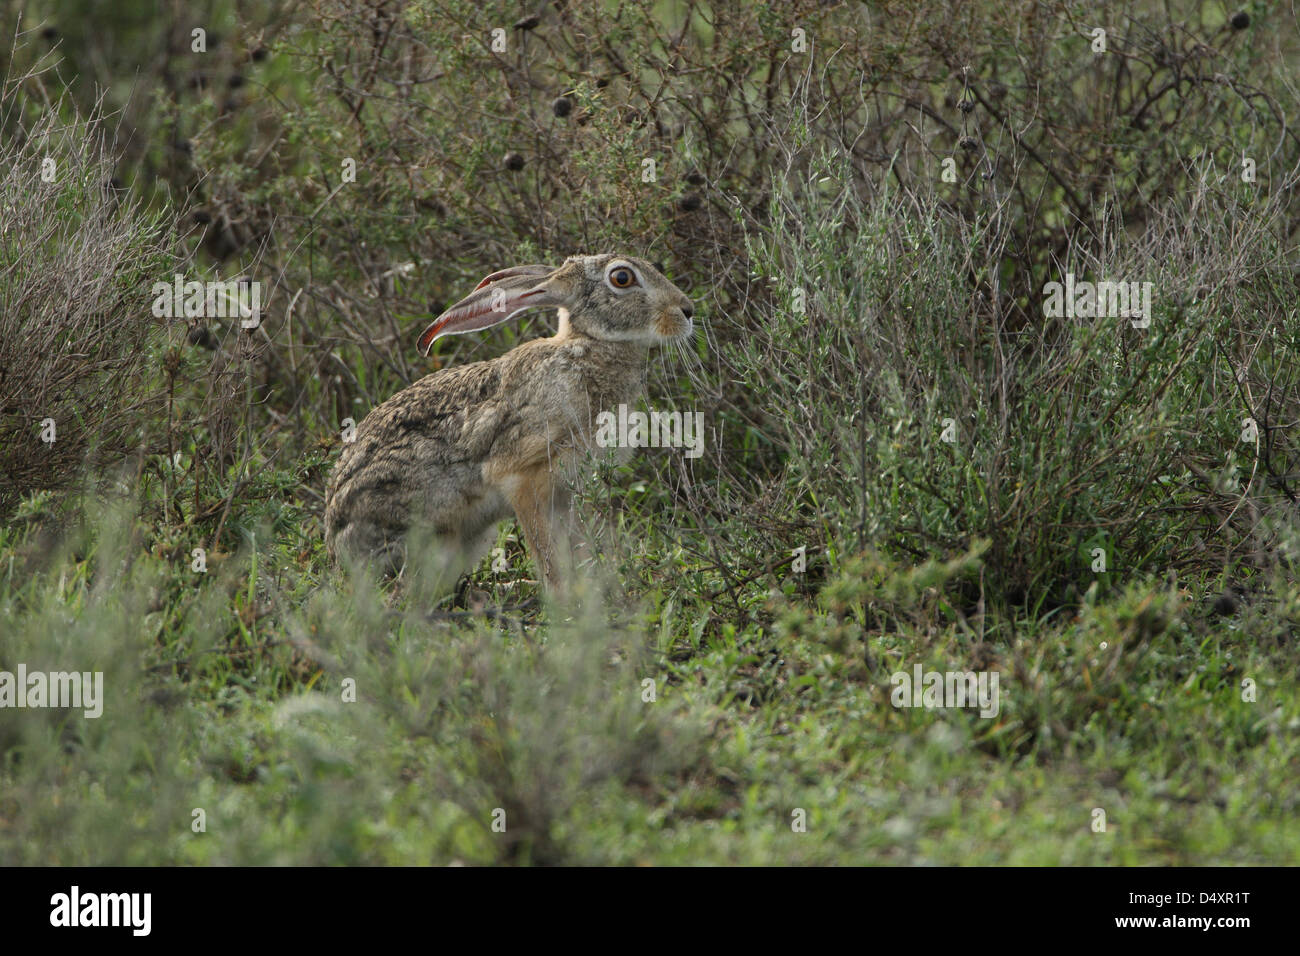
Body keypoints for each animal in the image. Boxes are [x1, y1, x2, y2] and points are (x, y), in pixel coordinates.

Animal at [323, 254, 694, 593]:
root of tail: (339, 551)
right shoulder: (522, 474)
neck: (588, 348)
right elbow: (546, 548)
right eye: (622, 278)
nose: (687, 310)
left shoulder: (565, 492)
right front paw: (562, 599)